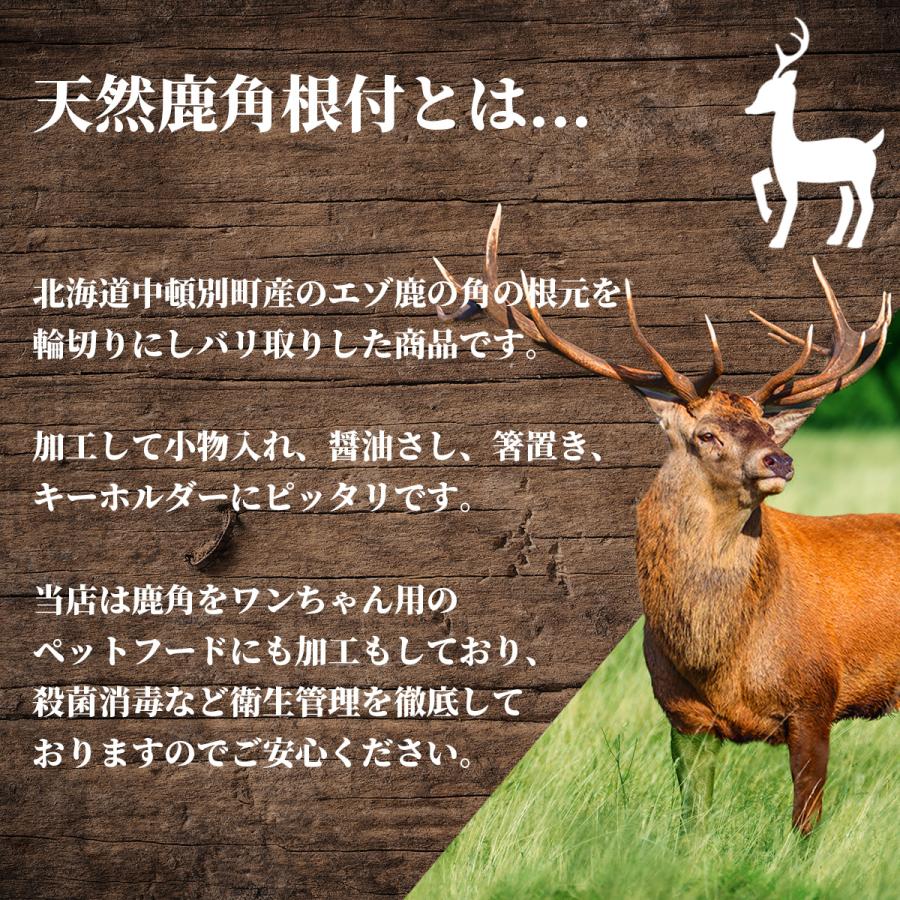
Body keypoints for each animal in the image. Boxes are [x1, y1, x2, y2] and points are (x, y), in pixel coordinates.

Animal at [434, 205, 898, 834]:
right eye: (707, 434)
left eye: (767, 427)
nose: (779, 459)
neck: (719, 659)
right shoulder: (683, 717)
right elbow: (692, 827)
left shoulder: (814, 699)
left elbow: (804, 829)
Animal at [745, 17, 884, 250]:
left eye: (770, 91)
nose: (748, 109)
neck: (788, 145)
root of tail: (869, 145)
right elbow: (757, 178)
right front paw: (767, 214)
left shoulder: (789, 177)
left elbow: (791, 203)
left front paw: (777, 241)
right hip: (843, 181)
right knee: (848, 203)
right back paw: (835, 239)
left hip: (862, 177)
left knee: (869, 204)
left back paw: (854, 242)